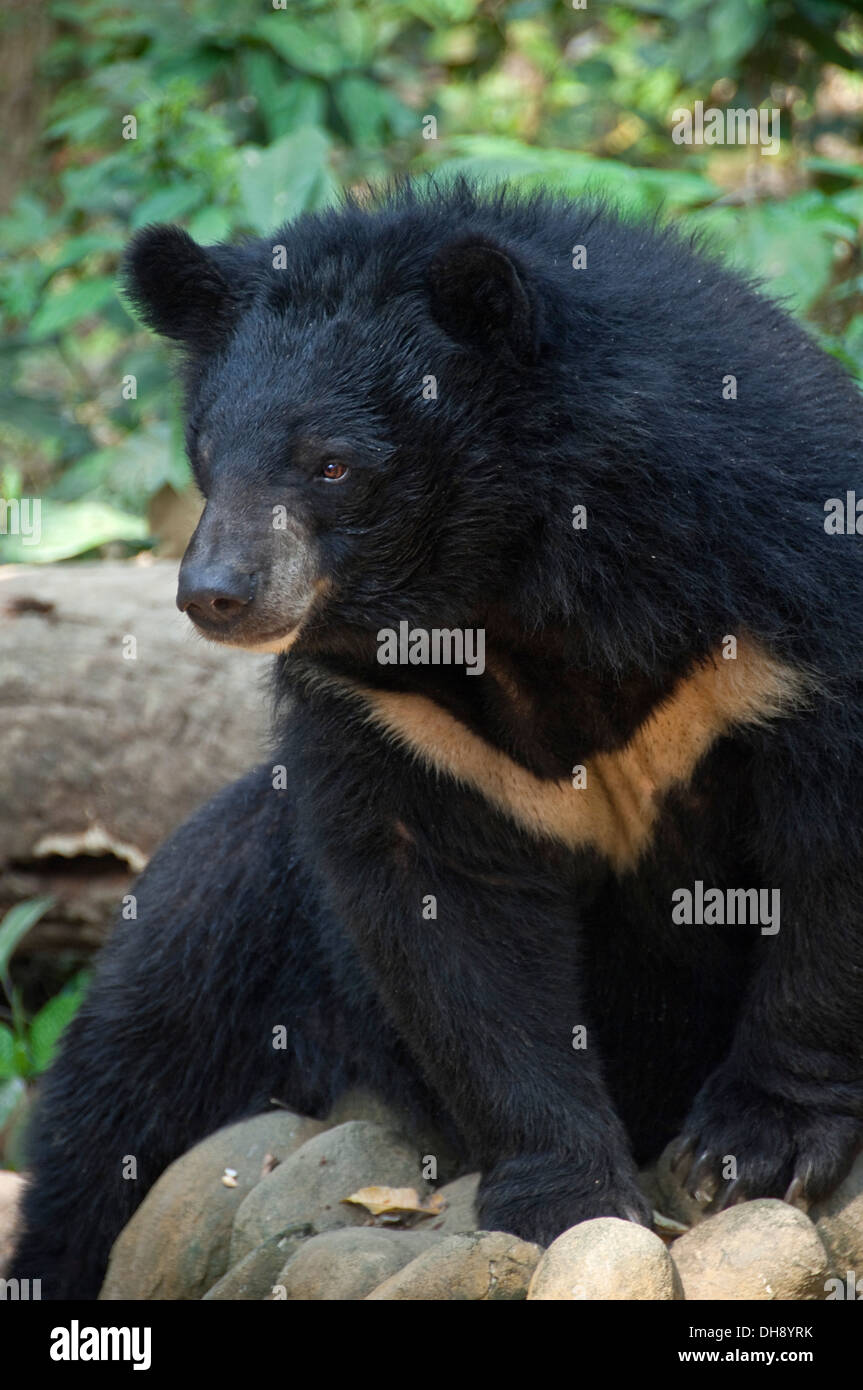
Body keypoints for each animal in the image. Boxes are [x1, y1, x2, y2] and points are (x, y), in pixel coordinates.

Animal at [9, 178, 863, 1300]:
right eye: (205, 455)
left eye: (331, 465)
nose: (215, 594)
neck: (504, 588)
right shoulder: (401, 718)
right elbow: (444, 917)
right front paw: (564, 1196)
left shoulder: (783, 610)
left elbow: (829, 857)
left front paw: (757, 1148)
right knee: (135, 1067)